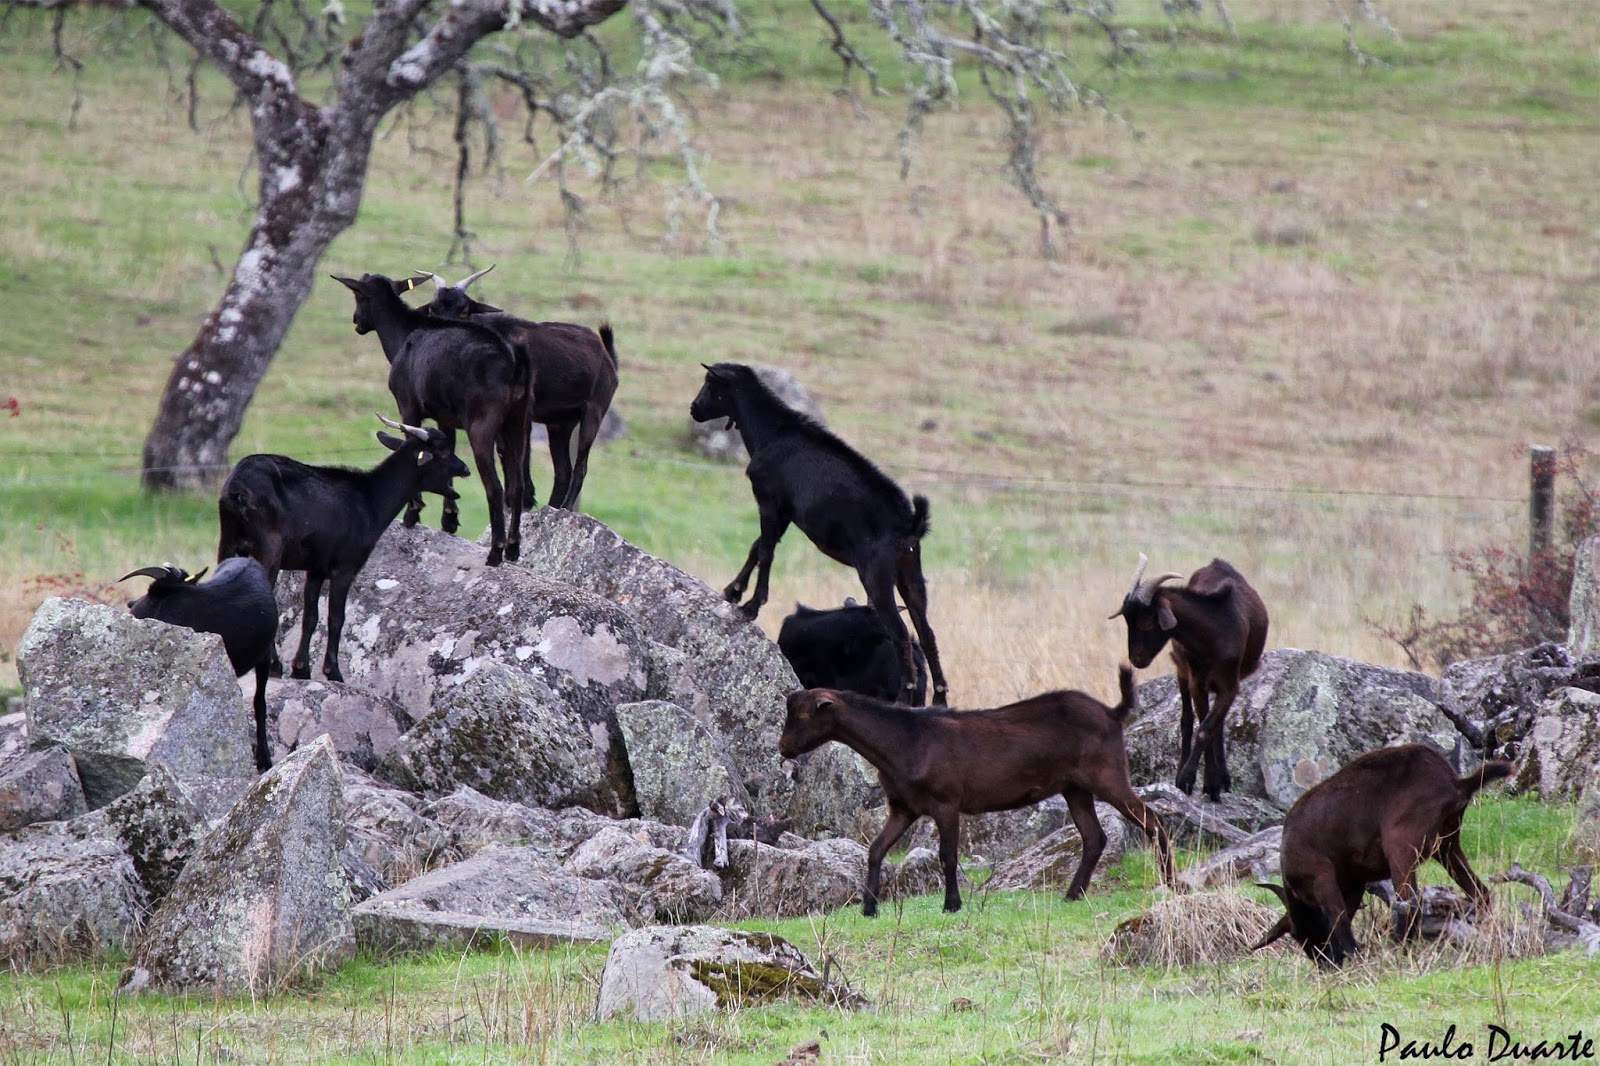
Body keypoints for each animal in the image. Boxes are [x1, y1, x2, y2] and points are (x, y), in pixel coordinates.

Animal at [216, 415, 470, 684]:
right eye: (442, 452)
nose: (465, 469)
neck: (370, 501)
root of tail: (237, 490)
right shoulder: (345, 567)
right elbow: (336, 619)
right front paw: (333, 672)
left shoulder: (315, 569)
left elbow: (310, 617)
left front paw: (301, 669)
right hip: (269, 548)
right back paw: (273, 665)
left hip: (228, 542)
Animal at [417, 266, 619, 511]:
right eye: (433, 308)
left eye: (464, 311)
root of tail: (607, 356)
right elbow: (504, 452)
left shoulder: (523, 410)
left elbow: (517, 453)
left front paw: (523, 500)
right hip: (559, 424)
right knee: (563, 470)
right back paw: (551, 506)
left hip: (593, 412)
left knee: (580, 466)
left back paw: (565, 507)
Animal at [779, 664, 1175, 916]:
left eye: (803, 715)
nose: (783, 749)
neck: (907, 741)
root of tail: (1112, 712)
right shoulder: (903, 807)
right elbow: (876, 850)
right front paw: (868, 907)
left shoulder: (946, 802)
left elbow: (947, 855)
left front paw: (952, 905)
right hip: (1075, 788)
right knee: (1095, 837)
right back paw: (1072, 895)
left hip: (1107, 774)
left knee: (1152, 820)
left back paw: (1169, 882)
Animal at [1110, 554, 1268, 802]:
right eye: (1127, 619)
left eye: (1148, 620)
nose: (1136, 659)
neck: (1212, 632)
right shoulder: (1197, 683)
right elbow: (1200, 725)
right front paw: (1195, 781)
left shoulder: (1230, 686)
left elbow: (1207, 729)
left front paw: (1203, 782)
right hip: (1182, 671)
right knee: (1186, 720)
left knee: (1216, 724)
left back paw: (1223, 779)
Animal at [1254, 744, 1512, 967]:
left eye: (1298, 933)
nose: (1325, 963)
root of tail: (1455, 783)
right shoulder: (1354, 882)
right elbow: (1347, 912)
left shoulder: (1320, 876)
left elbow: (1339, 917)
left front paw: (1355, 958)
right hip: (1447, 845)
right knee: (1480, 892)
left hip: (1401, 844)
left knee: (1411, 902)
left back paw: (1399, 949)